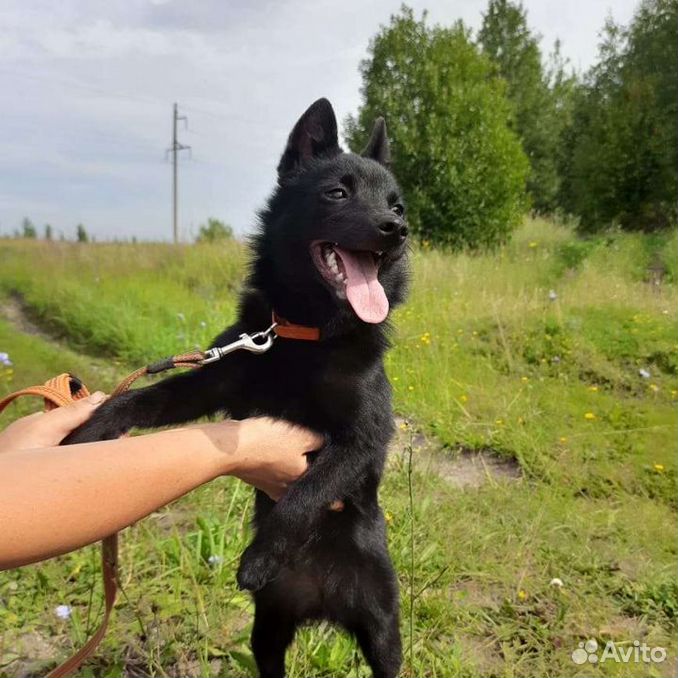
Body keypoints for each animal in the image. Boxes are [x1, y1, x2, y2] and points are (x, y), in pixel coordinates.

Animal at [66, 98, 412, 676]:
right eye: (337, 193)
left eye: (398, 205)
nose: (397, 229)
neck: (302, 334)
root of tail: (323, 600)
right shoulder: (214, 382)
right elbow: (142, 399)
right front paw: (87, 429)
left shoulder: (363, 437)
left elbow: (306, 491)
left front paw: (260, 557)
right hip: (266, 633)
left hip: (384, 634)